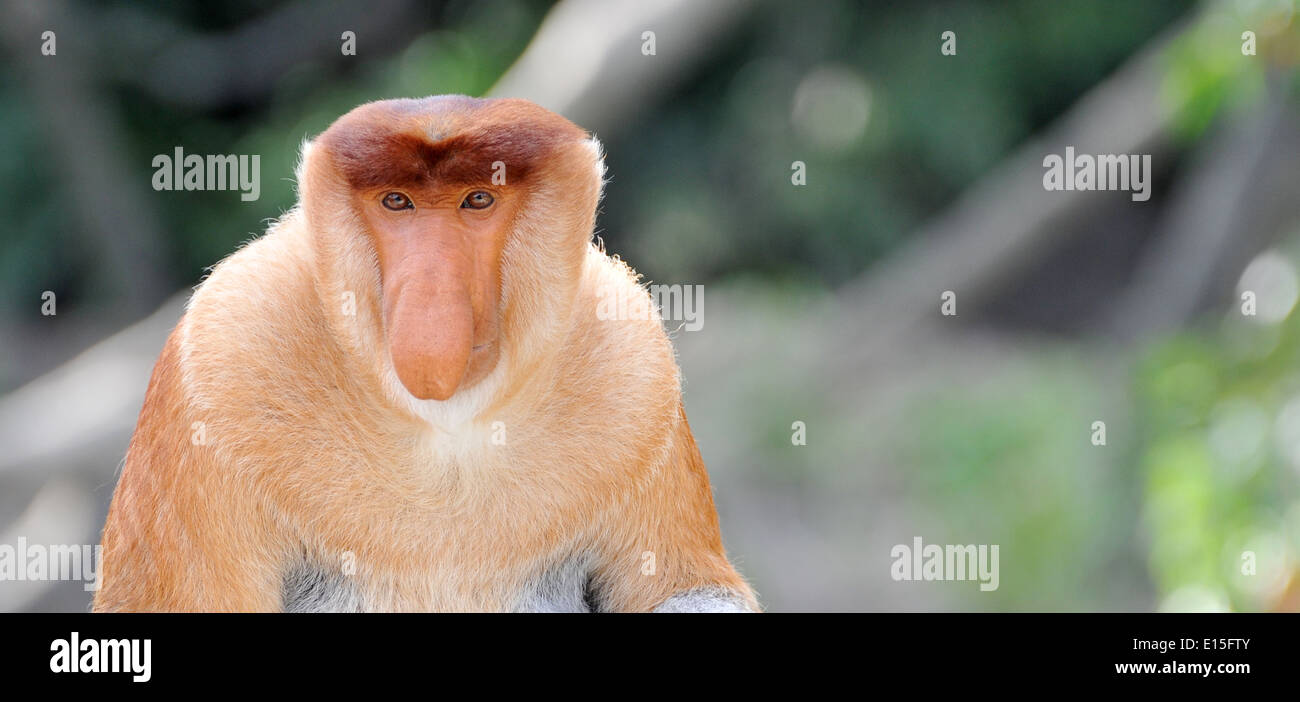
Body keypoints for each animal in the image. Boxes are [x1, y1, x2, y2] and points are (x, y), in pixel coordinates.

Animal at [93, 96, 759, 612]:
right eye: (397, 202)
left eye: (477, 201)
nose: (431, 299)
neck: (445, 424)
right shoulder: (219, 357)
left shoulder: (637, 372)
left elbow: (687, 588)